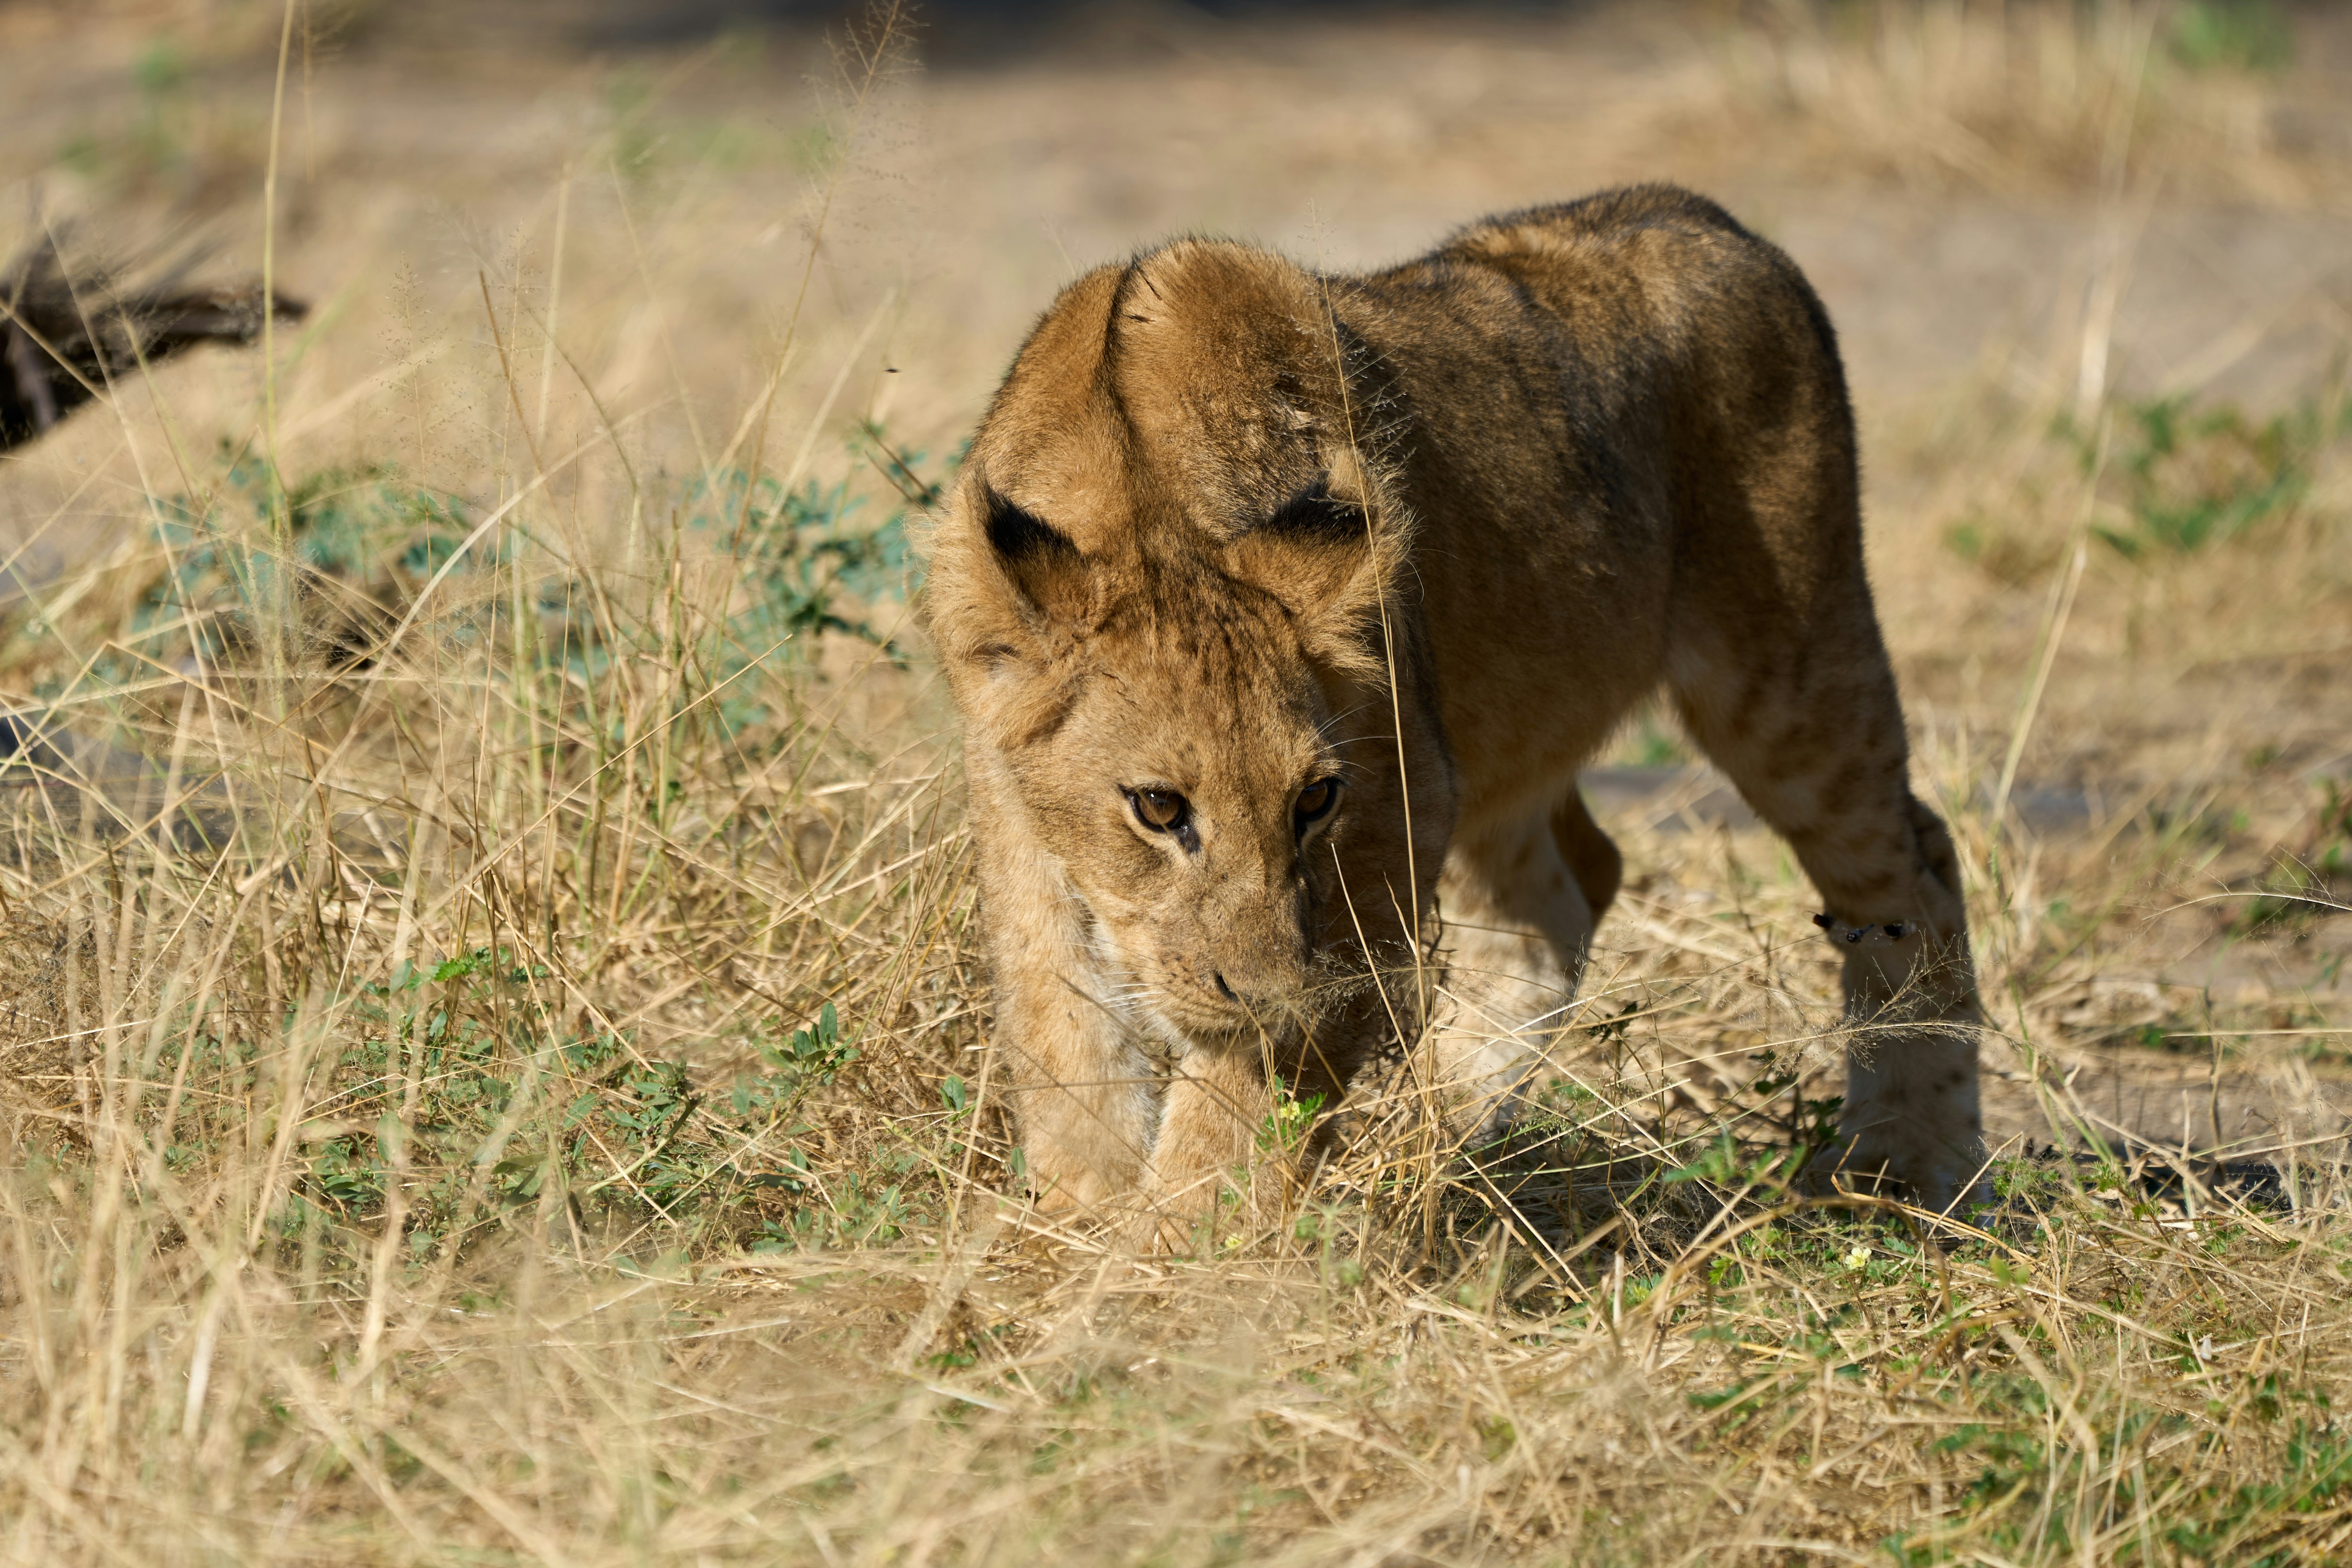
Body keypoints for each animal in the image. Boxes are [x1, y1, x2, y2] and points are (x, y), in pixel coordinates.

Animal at [921, 185, 1984, 1240]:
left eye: (1313, 801)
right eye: (1155, 807)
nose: (1264, 994)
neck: (1154, 504)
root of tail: (1706, 215)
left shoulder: (1392, 803)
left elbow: (1245, 1095)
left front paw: (1169, 1253)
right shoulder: (1010, 802)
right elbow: (1059, 1031)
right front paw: (1075, 1227)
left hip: (1789, 666)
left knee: (1914, 873)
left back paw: (1904, 1165)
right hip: (1506, 734)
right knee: (1564, 894)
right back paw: (1439, 1141)